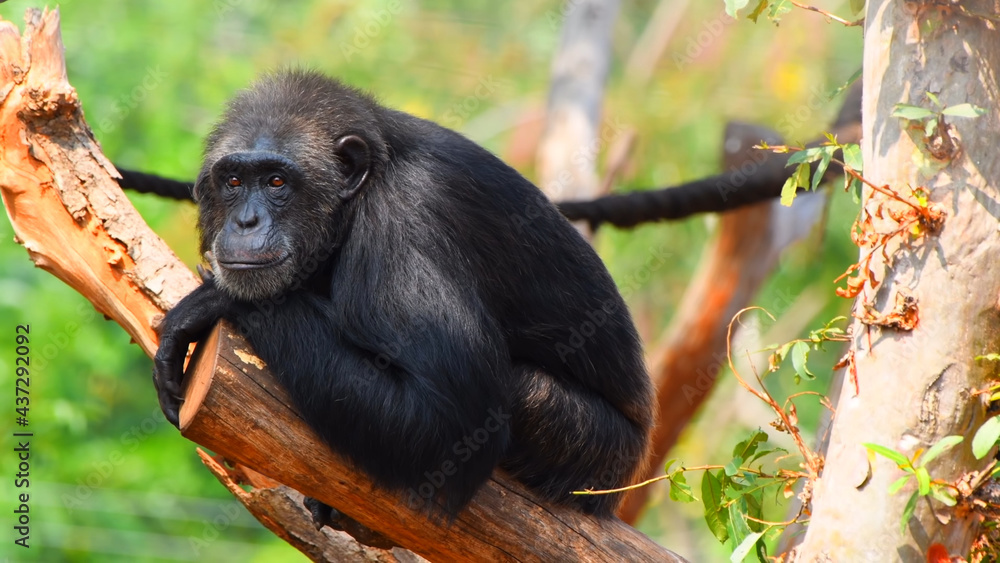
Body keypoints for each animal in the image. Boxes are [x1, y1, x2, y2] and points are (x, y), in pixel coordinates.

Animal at [153, 70, 654, 517]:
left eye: (277, 181)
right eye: (233, 182)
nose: (246, 221)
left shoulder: (408, 217)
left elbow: (447, 422)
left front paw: (207, 305)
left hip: (594, 458)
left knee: (522, 388)